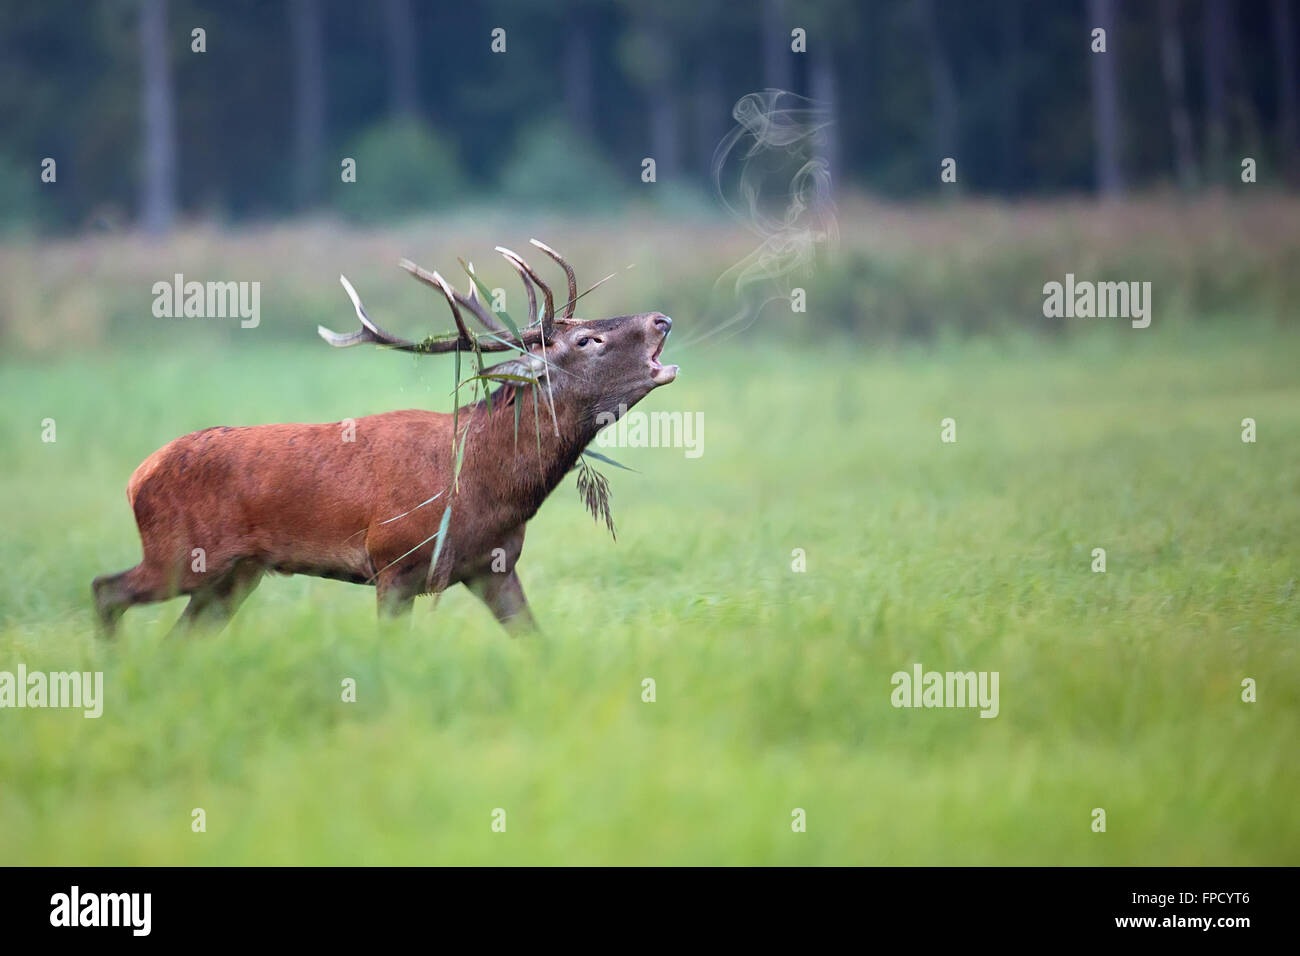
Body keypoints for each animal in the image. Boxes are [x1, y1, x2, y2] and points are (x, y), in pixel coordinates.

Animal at [92, 241, 676, 637]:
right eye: (587, 340)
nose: (662, 318)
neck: (484, 487)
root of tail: (136, 477)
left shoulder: (495, 567)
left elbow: (537, 642)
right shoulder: (395, 563)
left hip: (234, 575)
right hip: (182, 554)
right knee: (105, 589)